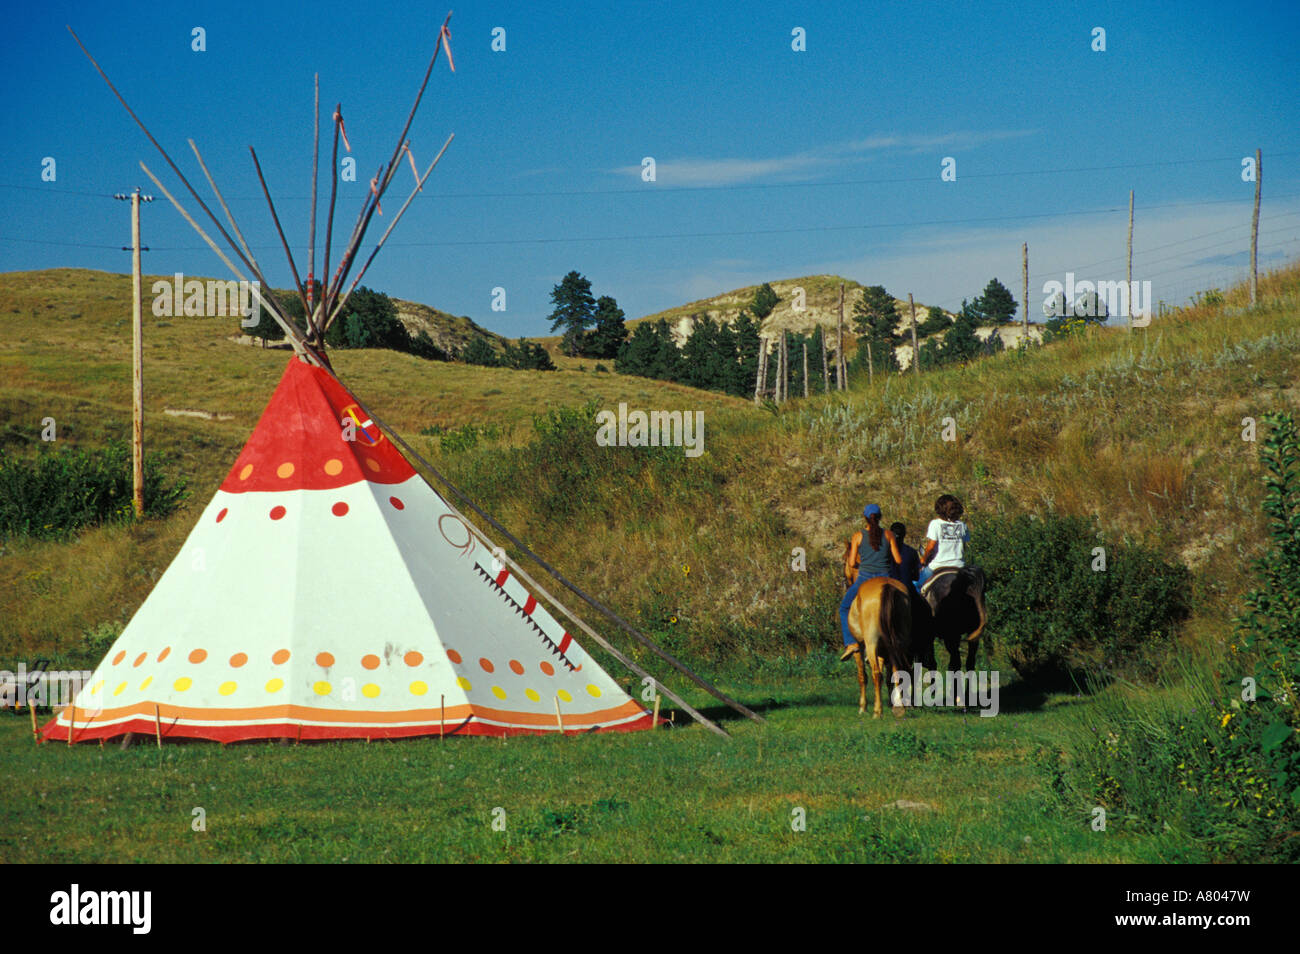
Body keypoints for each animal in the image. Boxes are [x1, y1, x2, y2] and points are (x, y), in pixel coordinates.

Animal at [842, 576, 913, 717]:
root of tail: (887, 586)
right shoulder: (883, 652)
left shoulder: (860, 647)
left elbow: (862, 676)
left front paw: (863, 707)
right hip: (901, 642)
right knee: (900, 671)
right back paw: (900, 707)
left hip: (871, 643)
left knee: (876, 674)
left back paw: (877, 712)